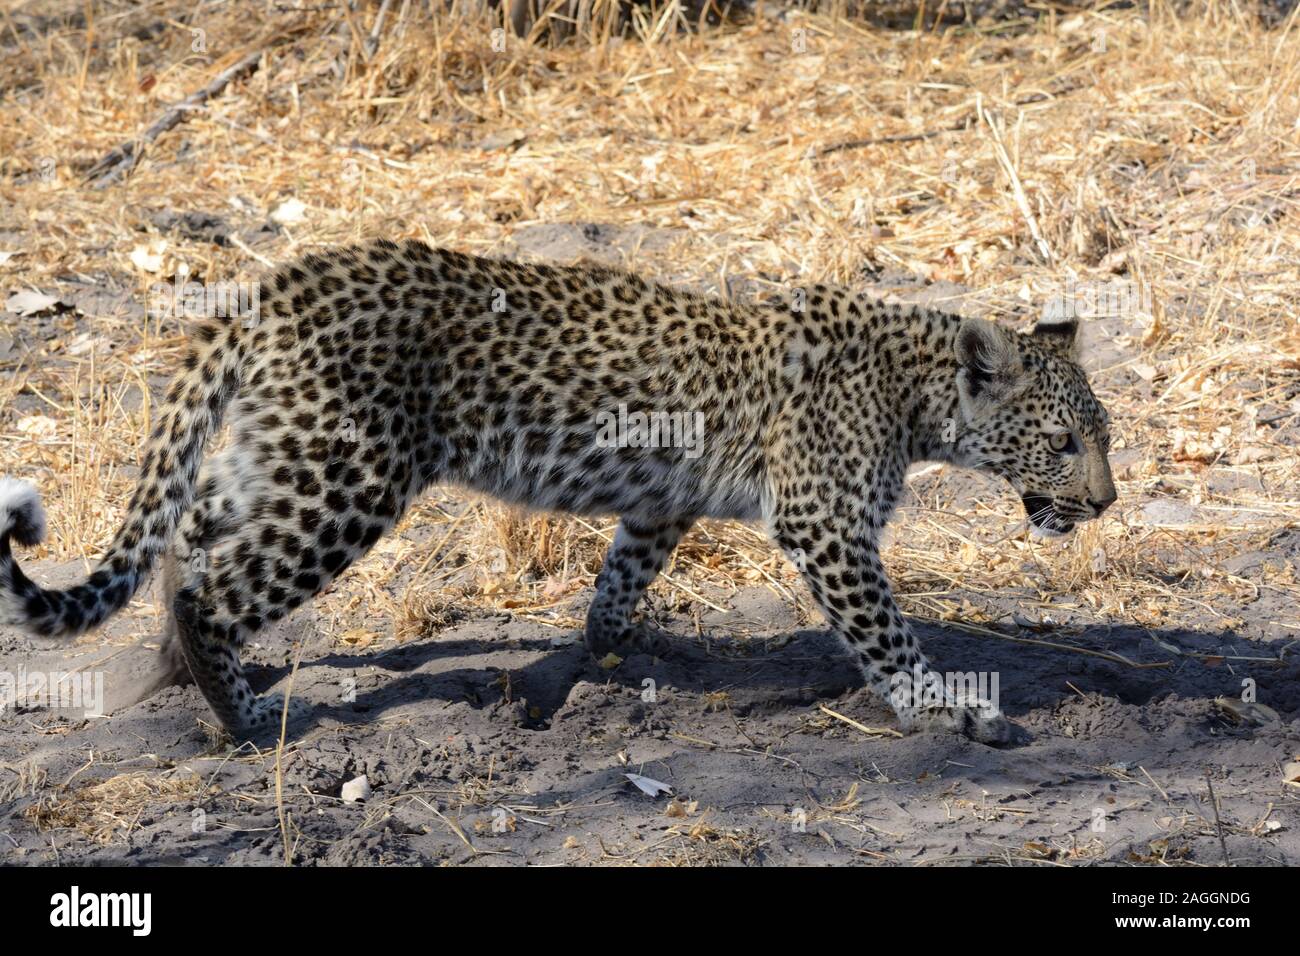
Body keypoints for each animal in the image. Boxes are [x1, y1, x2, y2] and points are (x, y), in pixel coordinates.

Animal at [0, 238, 1115, 745]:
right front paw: (946, 706)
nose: (1103, 504)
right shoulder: (827, 522)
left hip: (277, 454)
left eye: (1103, 439)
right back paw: (241, 718)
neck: (916, 390)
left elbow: (624, 573)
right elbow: (887, 632)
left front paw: (606, 651)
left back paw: (175, 674)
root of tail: (276, 285)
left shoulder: (665, 502)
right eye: (1063, 442)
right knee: (212, 585)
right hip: (346, 480)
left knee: (184, 538)